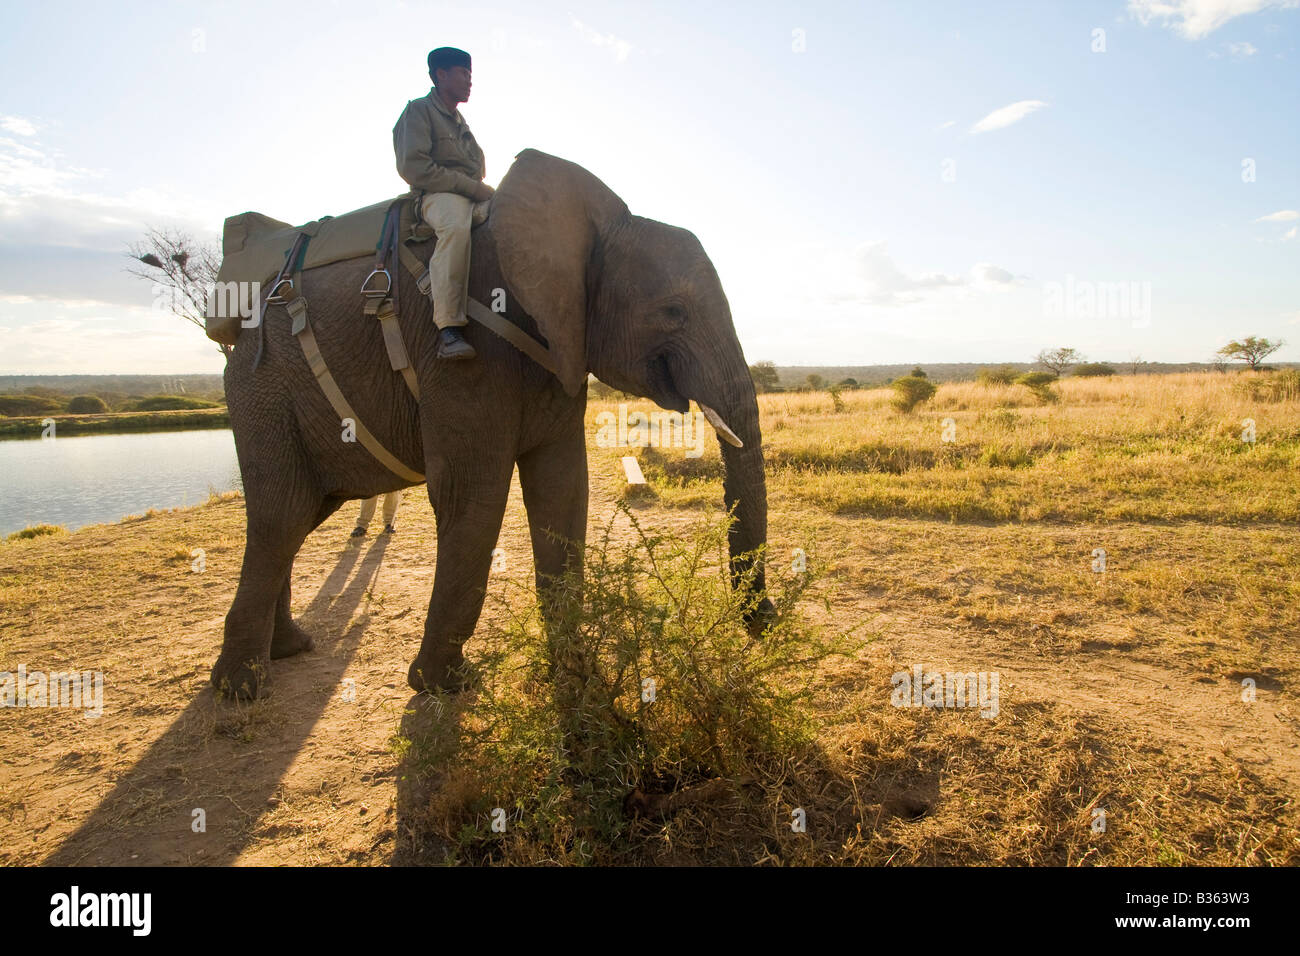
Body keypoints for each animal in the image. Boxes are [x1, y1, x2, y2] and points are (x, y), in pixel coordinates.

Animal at [211, 148, 774, 700]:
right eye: (673, 311)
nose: (764, 619)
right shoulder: (465, 354)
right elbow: (473, 494)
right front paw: (444, 685)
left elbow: (563, 487)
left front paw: (577, 675)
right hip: (264, 386)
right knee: (282, 515)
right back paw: (240, 688)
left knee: (301, 512)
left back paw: (288, 650)